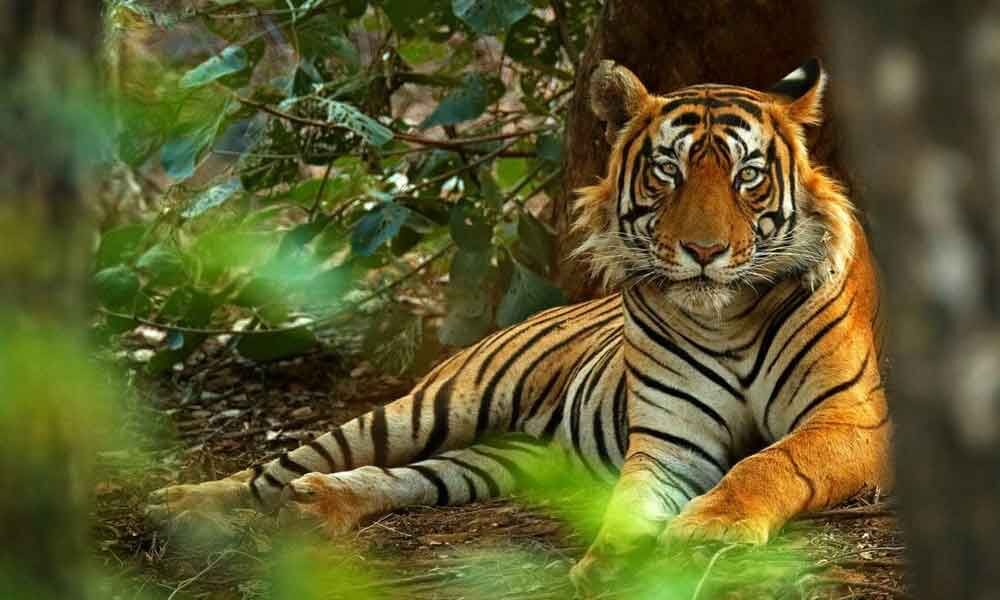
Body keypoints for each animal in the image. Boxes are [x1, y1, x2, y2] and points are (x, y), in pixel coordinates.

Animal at [148, 58, 891, 592]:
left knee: (412, 477)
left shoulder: (851, 419)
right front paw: (611, 564)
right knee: (282, 465)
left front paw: (710, 529)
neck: (727, 318)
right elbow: (631, 503)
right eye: (667, 172)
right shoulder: (669, 442)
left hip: (507, 459)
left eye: (748, 177)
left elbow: (770, 462)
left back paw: (319, 504)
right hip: (435, 405)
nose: (704, 251)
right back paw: (181, 503)